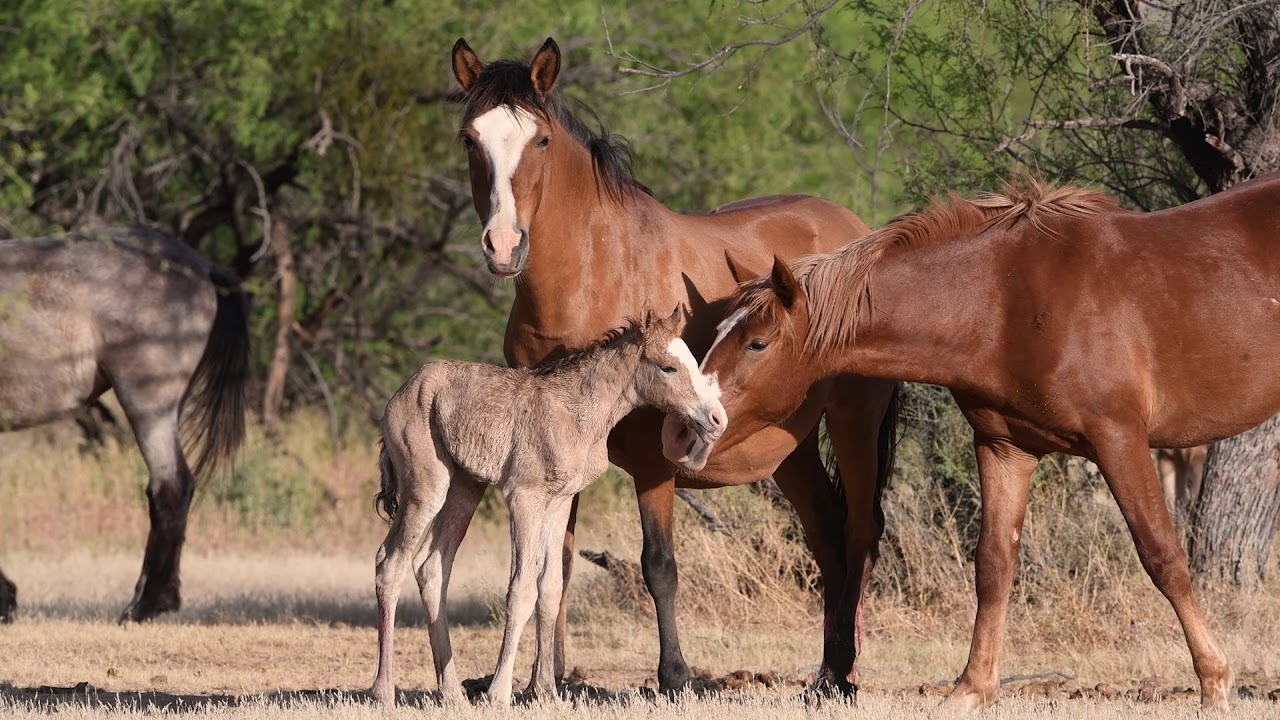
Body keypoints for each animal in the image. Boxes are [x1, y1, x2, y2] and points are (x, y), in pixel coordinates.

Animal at [370, 307, 726, 706]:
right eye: (668, 367)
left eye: (692, 361)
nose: (715, 418)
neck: (581, 415)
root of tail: (398, 396)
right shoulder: (525, 495)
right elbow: (522, 588)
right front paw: (499, 694)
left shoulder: (560, 500)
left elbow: (551, 587)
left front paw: (545, 691)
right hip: (425, 484)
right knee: (390, 562)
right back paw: (383, 691)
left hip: (465, 485)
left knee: (431, 567)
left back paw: (452, 694)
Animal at [450, 37, 899, 695]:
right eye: (470, 139)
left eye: (542, 141)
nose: (504, 246)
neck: (593, 277)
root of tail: (860, 231)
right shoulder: (557, 451)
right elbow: (555, 565)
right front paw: (546, 681)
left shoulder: (652, 455)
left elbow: (658, 564)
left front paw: (676, 674)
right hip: (790, 445)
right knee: (826, 536)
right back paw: (827, 670)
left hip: (853, 426)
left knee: (859, 533)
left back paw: (841, 676)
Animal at [693, 174, 1280, 709]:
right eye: (719, 333)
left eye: (757, 343)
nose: (702, 419)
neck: (1007, 300)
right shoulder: (1004, 448)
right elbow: (994, 565)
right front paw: (971, 689)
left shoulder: (1120, 440)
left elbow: (1163, 556)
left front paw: (1214, 684)